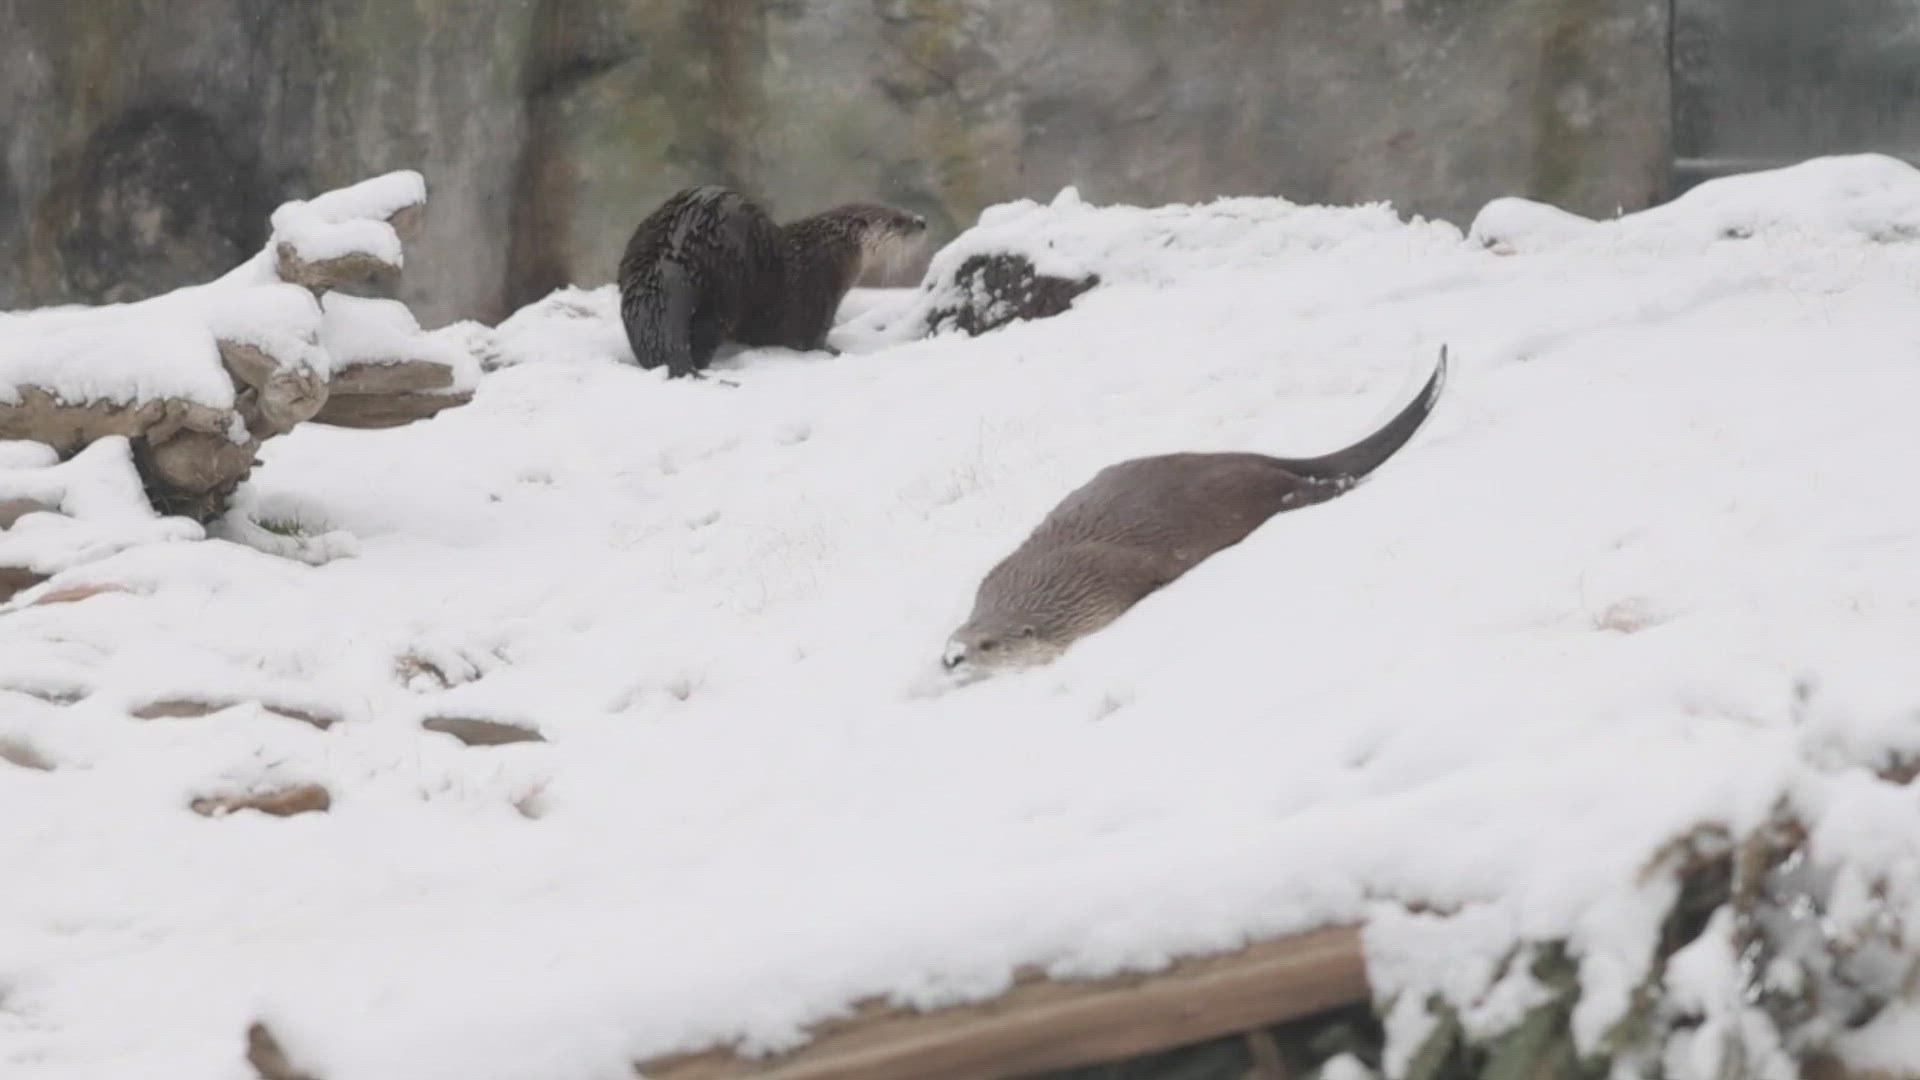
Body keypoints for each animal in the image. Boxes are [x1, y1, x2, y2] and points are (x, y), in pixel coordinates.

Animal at [617, 186, 927, 378]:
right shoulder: (817, 294)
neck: (828, 251)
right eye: (898, 221)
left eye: (902, 209)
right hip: (729, 284)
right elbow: (805, 341)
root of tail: (674, 252)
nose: (922, 220)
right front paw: (835, 352)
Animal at [943, 348, 1449, 673]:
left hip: (1244, 498)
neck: (1060, 581)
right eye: (955, 636)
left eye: (987, 644)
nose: (950, 658)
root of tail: (1241, 457)